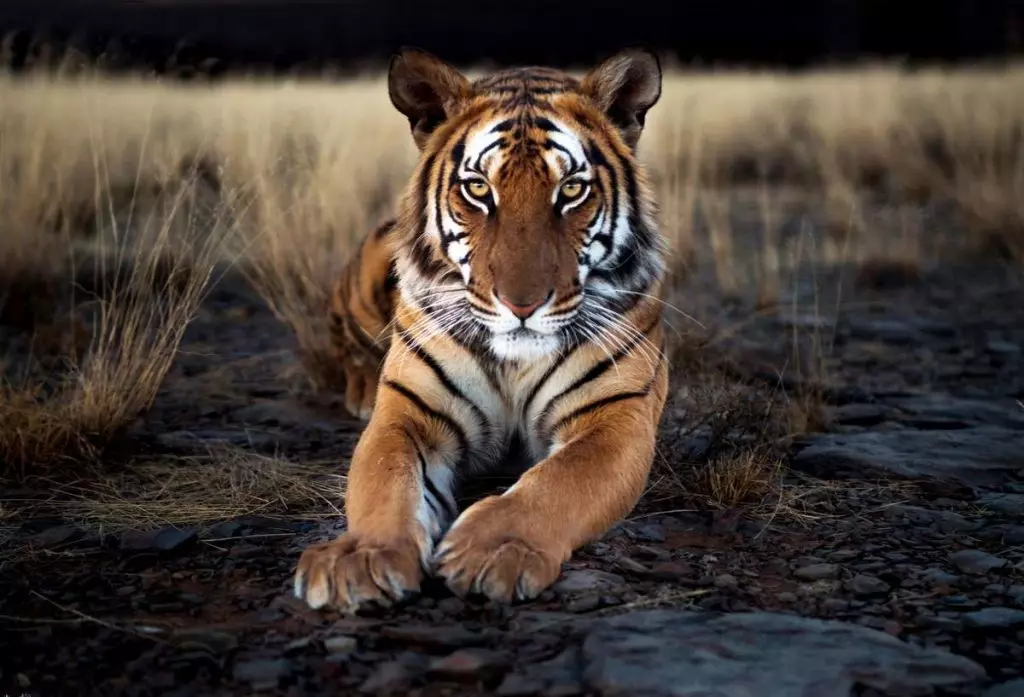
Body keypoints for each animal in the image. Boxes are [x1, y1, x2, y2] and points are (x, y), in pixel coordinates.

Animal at [292, 46, 667, 610]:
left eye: (571, 190)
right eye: (477, 189)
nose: (521, 304)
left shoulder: (615, 419)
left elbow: (558, 482)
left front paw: (495, 550)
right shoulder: (408, 413)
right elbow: (383, 479)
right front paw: (359, 558)